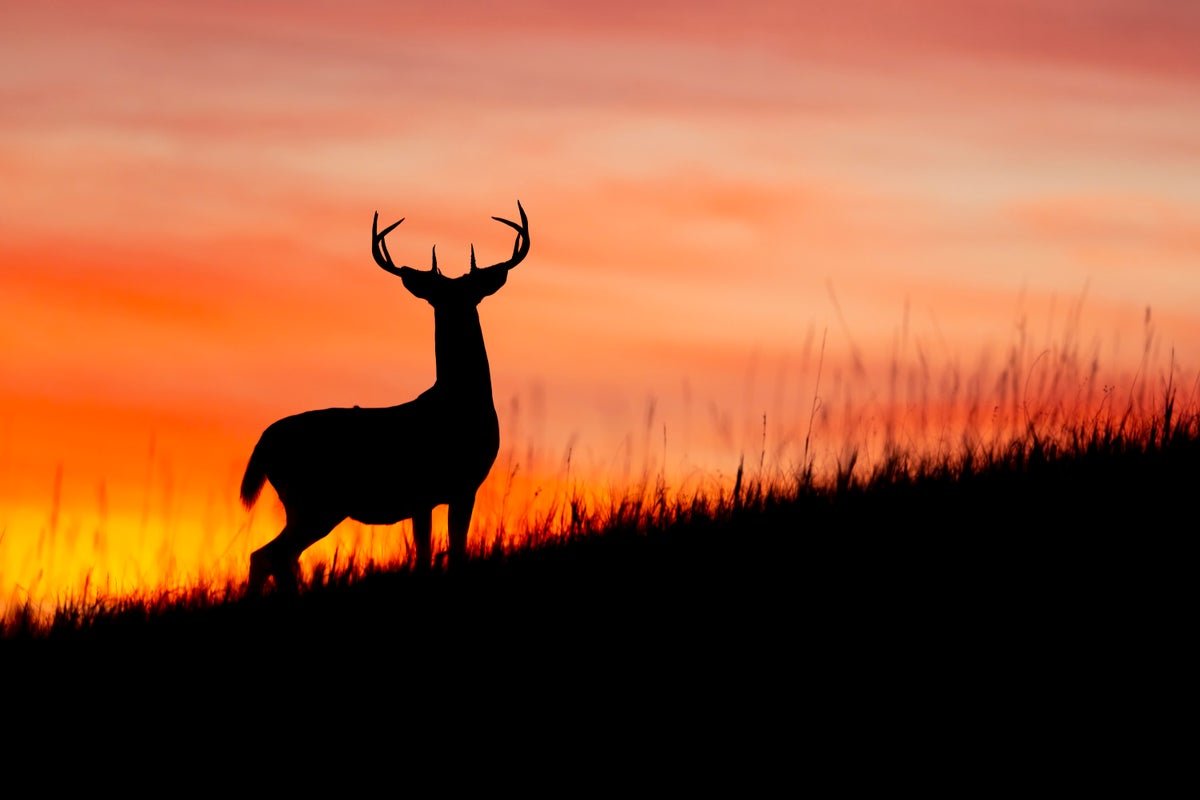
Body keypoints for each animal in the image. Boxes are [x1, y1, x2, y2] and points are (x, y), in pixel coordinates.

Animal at [239, 201, 529, 593]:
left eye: (471, 294)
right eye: (439, 297)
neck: (460, 404)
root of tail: (263, 442)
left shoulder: (457, 489)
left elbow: (448, 550)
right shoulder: (431, 490)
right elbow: (431, 554)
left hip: (307, 503)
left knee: (272, 556)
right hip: (315, 500)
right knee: (271, 555)